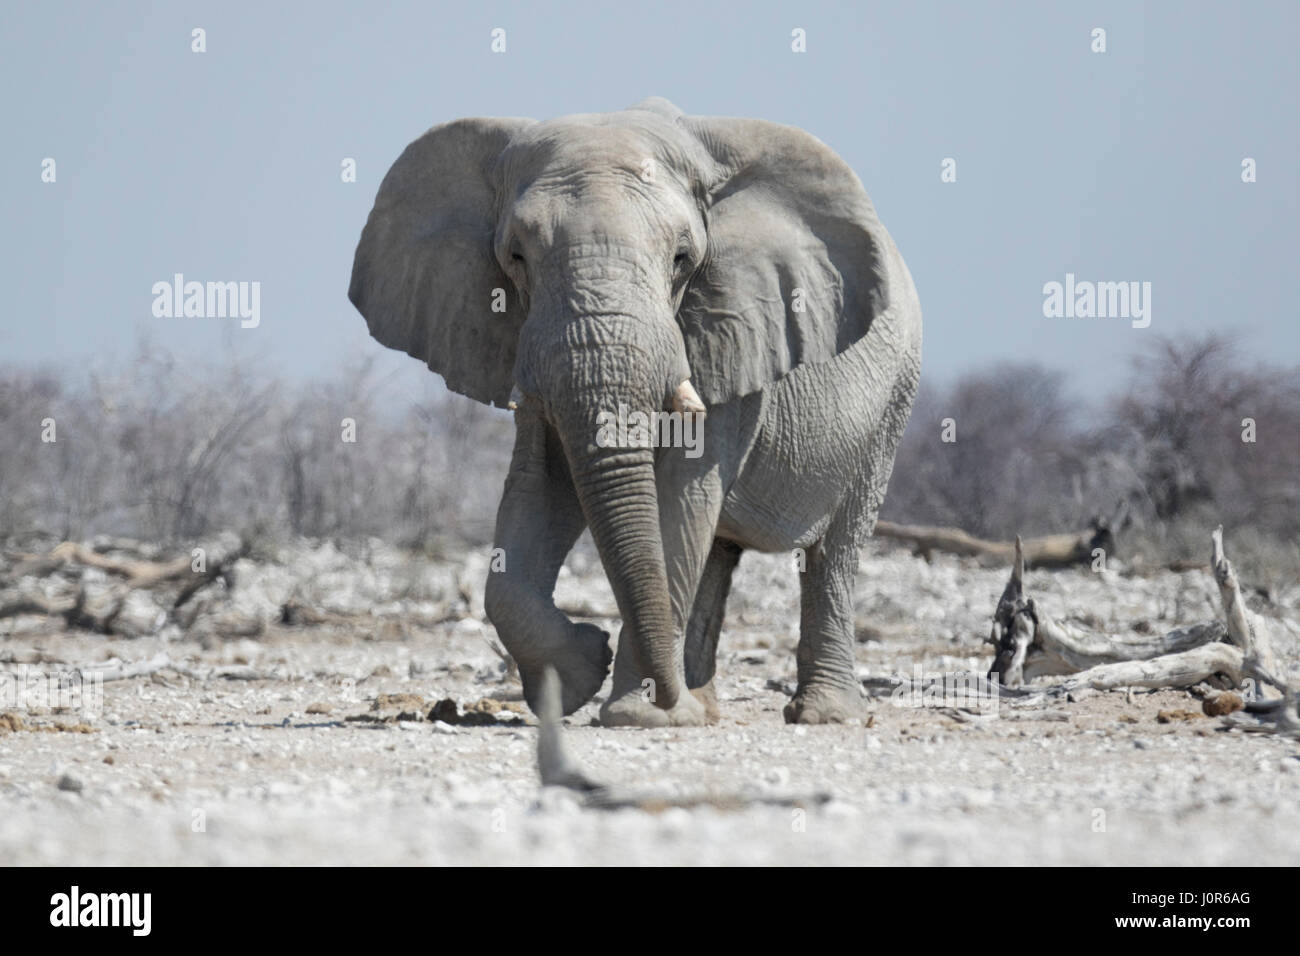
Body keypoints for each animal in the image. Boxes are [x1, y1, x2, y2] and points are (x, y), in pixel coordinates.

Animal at [349, 97, 922, 727]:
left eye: (682, 259)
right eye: (516, 257)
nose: (661, 696)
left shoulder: (728, 330)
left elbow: (678, 497)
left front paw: (641, 715)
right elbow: (542, 488)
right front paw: (585, 673)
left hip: (892, 403)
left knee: (834, 552)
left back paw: (817, 714)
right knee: (716, 552)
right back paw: (702, 705)